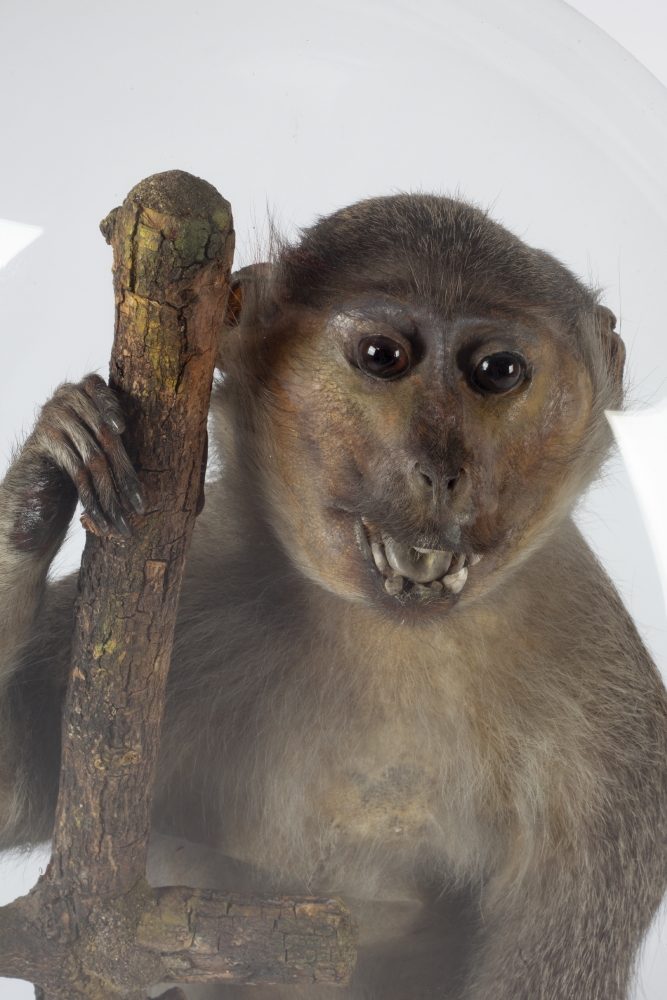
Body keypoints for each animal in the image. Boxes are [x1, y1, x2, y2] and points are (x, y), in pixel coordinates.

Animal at [1, 192, 667, 1000]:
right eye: (383, 357)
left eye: (498, 371)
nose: (440, 470)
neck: (395, 637)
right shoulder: (190, 585)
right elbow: (22, 792)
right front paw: (43, 476)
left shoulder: (615, 738)